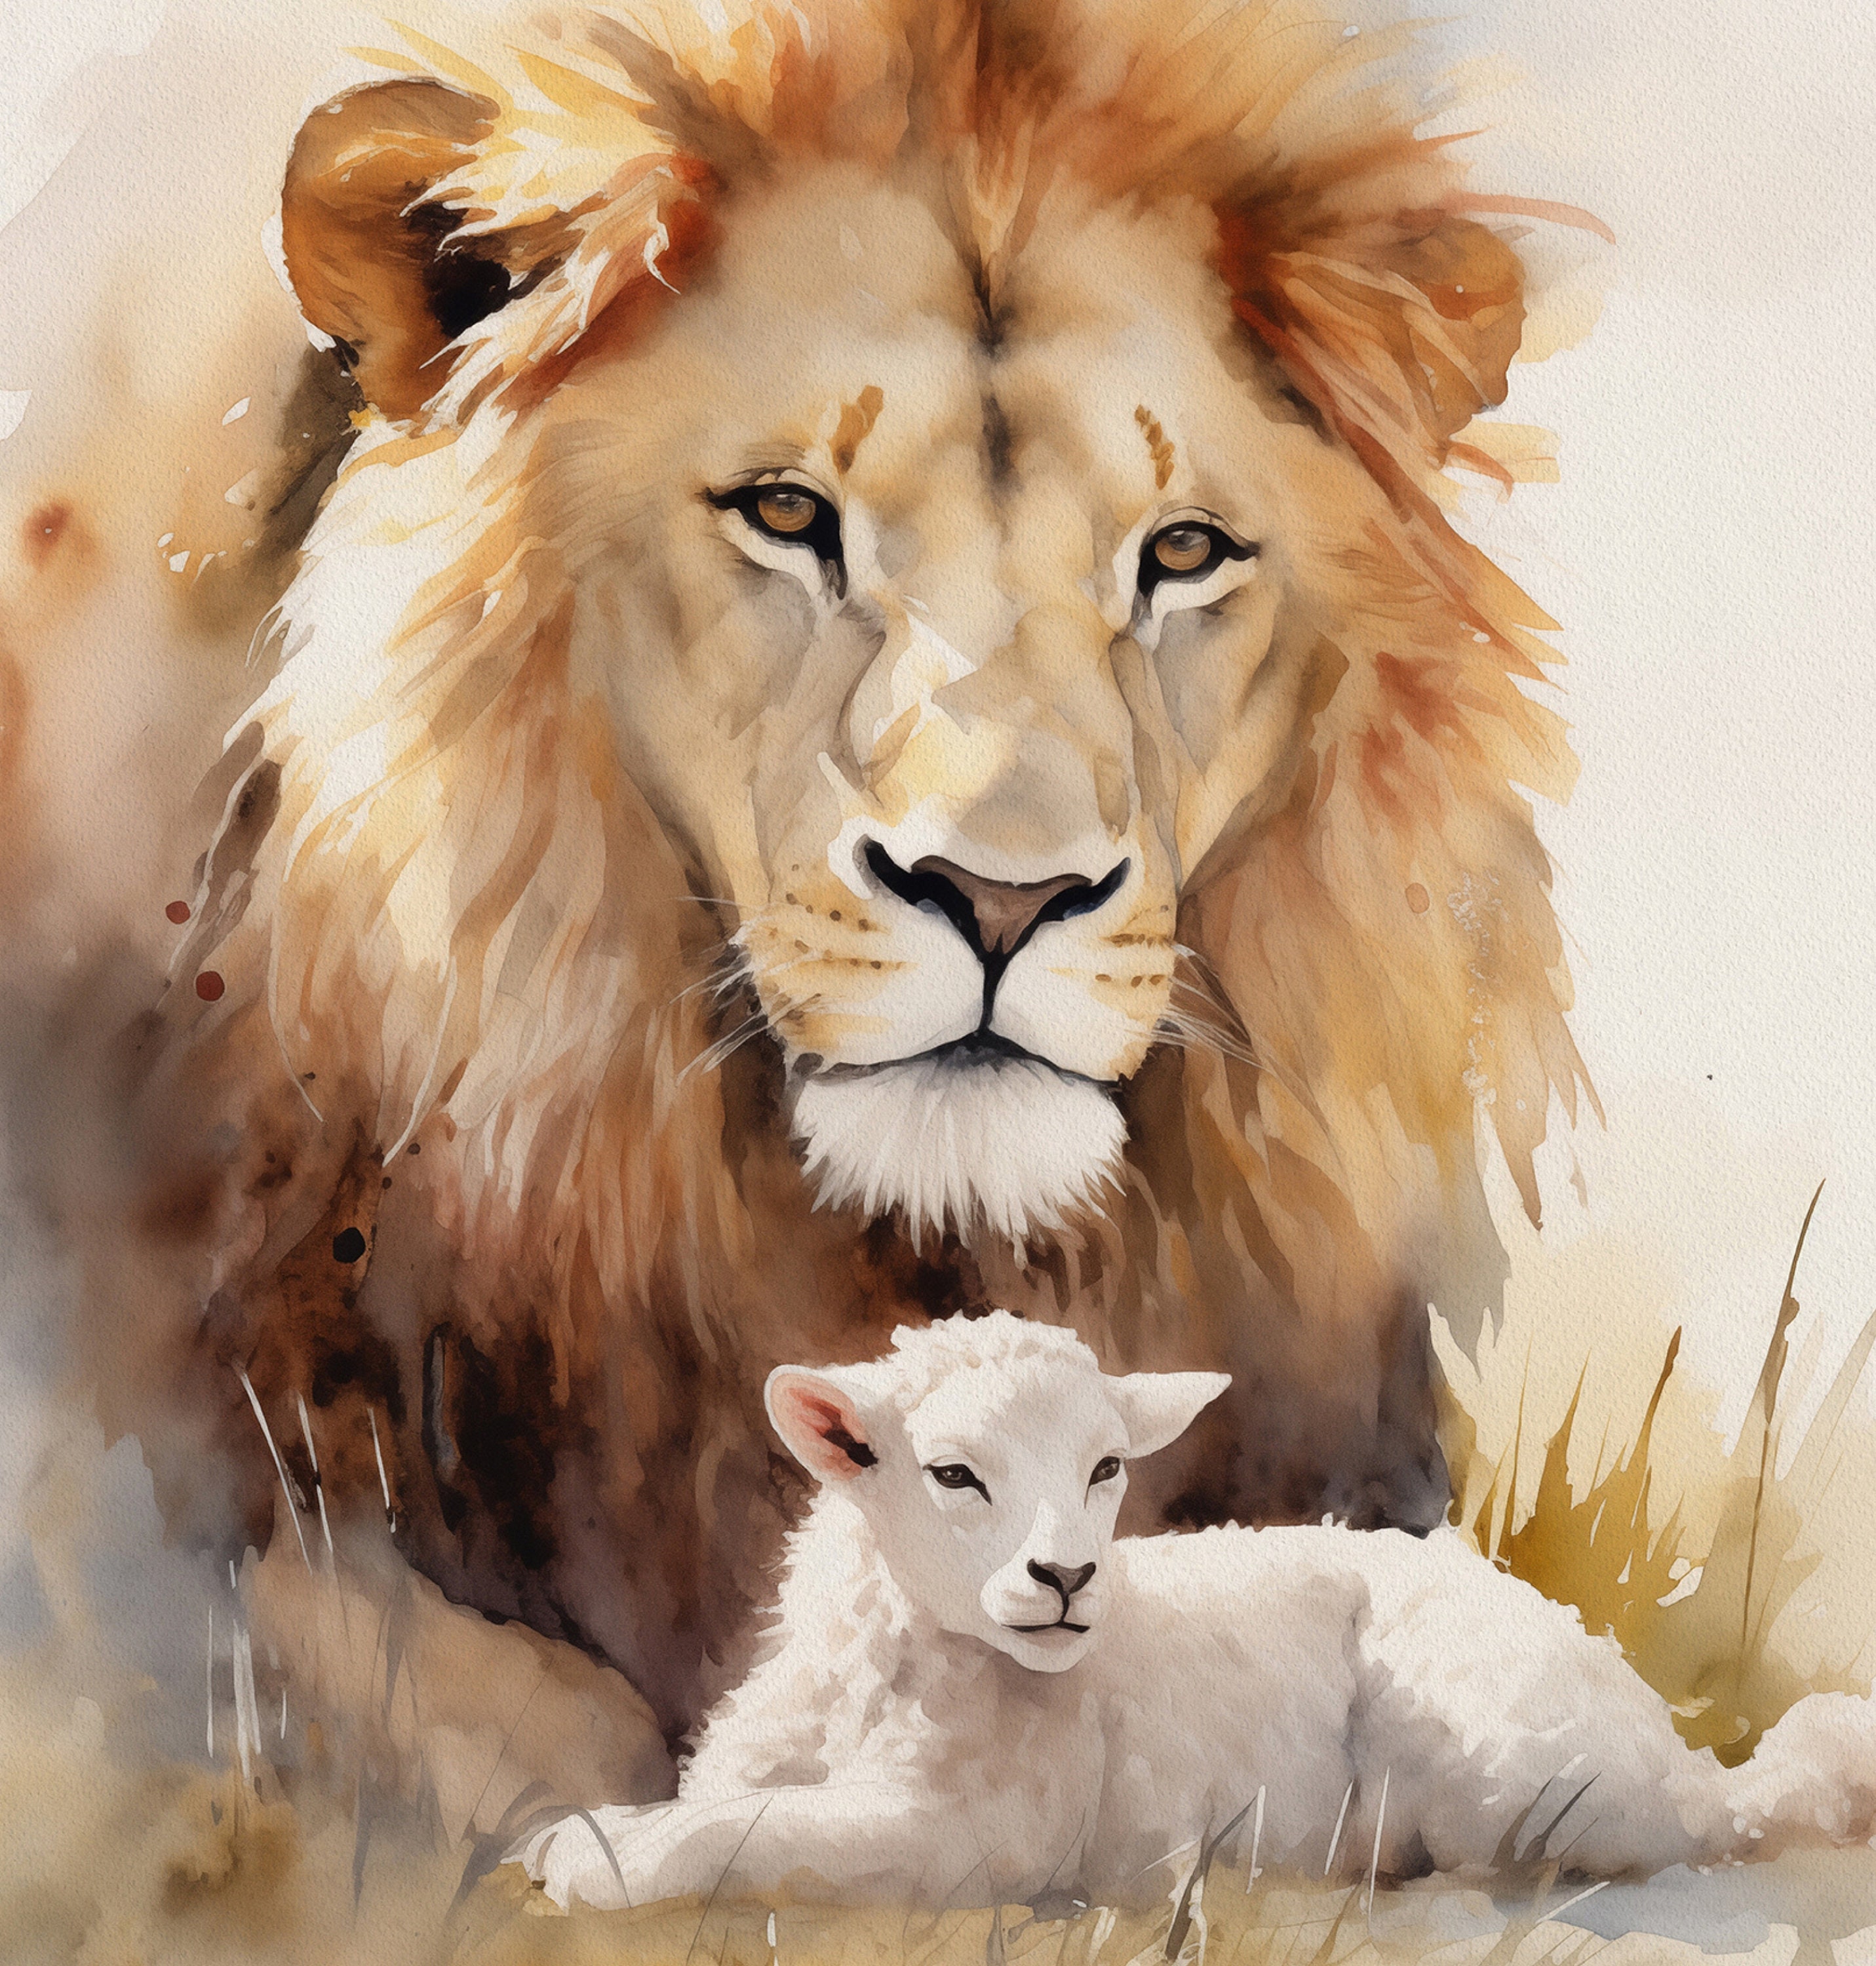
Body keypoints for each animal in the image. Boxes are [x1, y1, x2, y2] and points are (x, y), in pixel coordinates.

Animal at [515, 1312, 1876, 1911]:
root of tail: (1678, 1746)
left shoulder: (971, 1839)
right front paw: (595, 1831)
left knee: (1617, 1839)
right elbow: (730, 1806)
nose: (1067, 1581)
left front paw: (600, 1858)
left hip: (1494, 1753)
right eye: (952, 1473)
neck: (877, 1680)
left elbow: (756, 1835)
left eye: (1107, 1466)